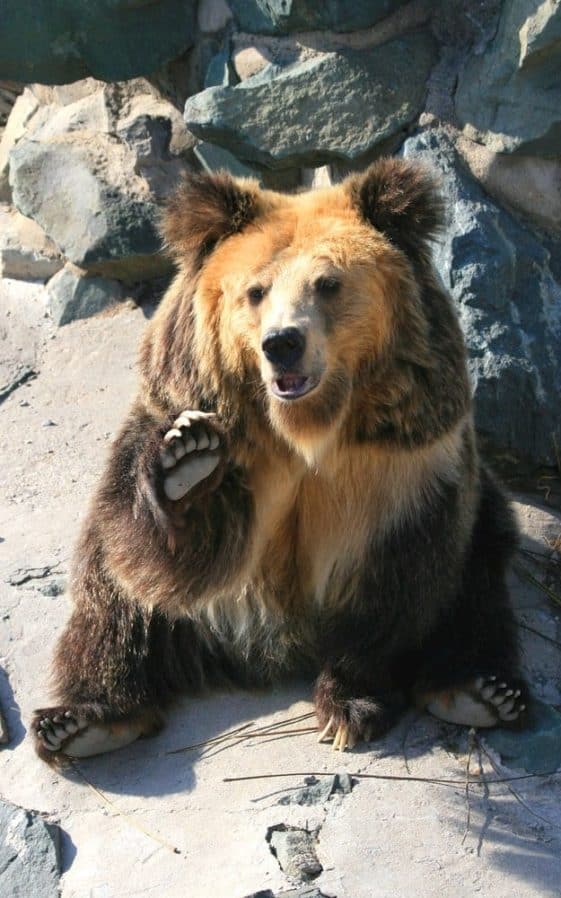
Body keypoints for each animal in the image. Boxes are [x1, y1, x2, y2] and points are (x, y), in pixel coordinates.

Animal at [32, 159, 528, 764]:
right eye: (256, 290)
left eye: (329, 284)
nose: (283, 343)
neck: (305, 429)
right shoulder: (213, 430)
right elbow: (157, 561)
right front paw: (186, 465)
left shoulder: (405, 464)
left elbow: (397, 576)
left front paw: (348, 707)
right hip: (190, 620)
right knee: (110, 602)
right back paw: (85, 720)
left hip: (481, 523)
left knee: (480, 587)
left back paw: (480, 692)